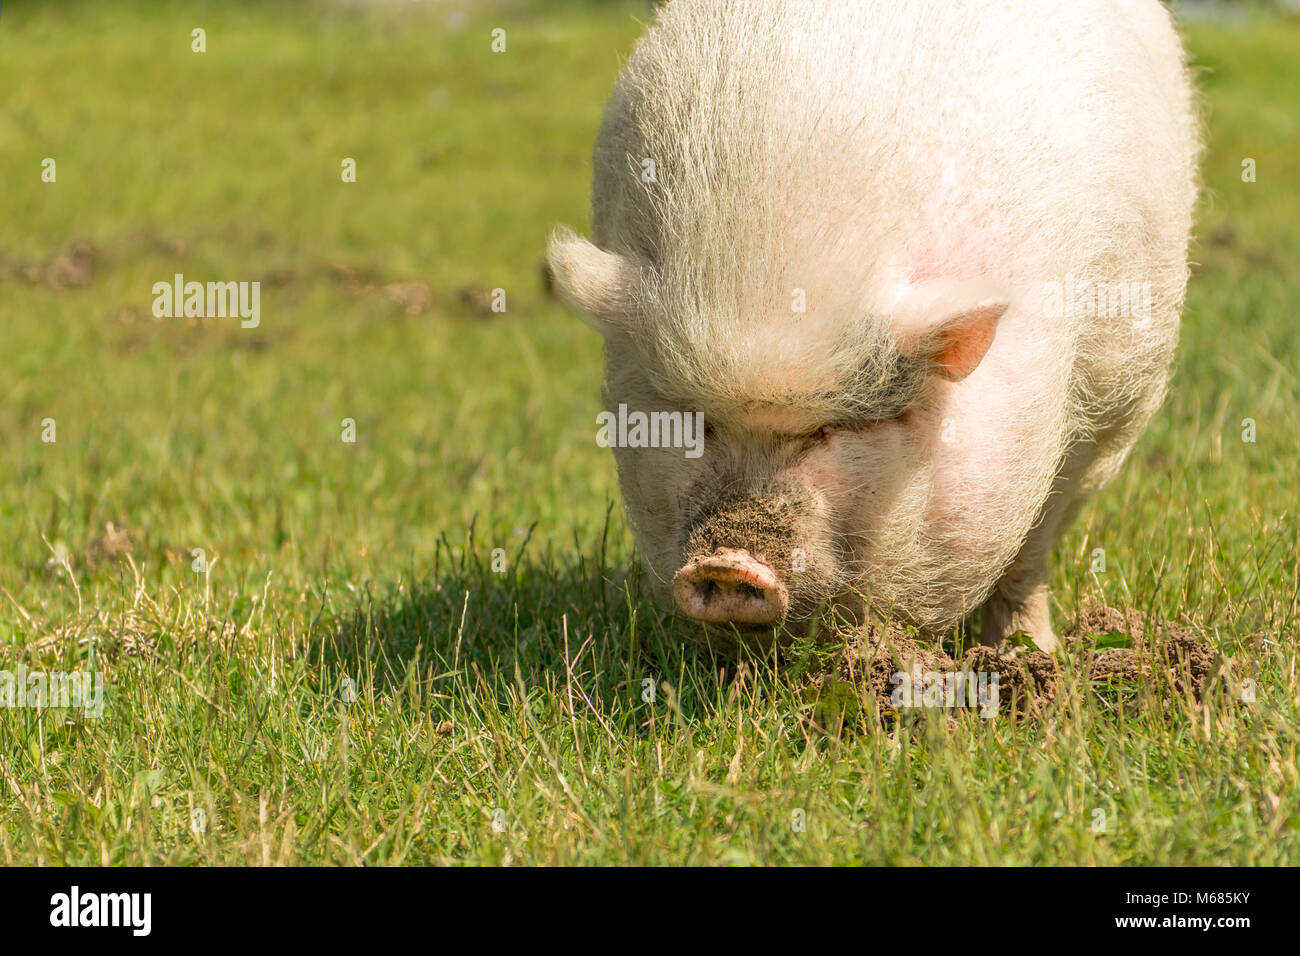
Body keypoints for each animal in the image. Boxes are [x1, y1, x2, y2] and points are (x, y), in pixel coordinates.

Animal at [548, 0, 1199, 654]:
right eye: (698, 421)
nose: (729, 565)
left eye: (832, 429)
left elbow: (1031, 547)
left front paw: (1023, 655)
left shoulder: (1085, 414)